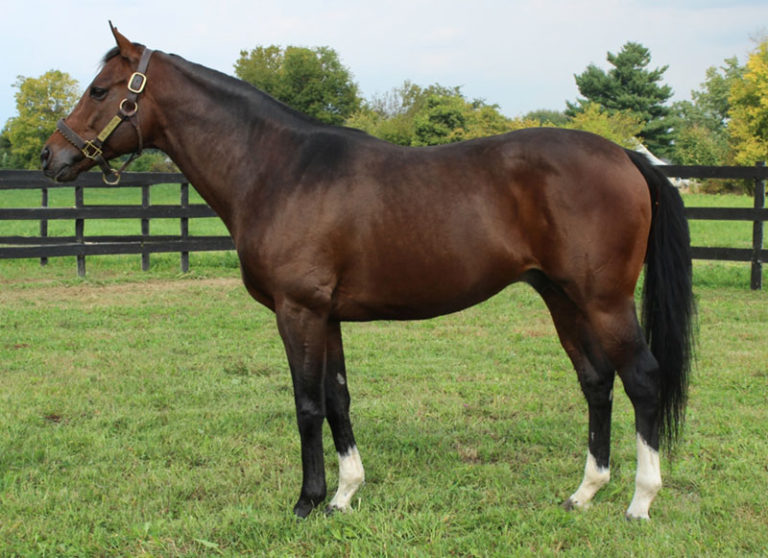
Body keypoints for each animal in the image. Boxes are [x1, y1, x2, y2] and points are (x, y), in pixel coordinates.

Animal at [41, 24, 695, 520]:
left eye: (100, 90)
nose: (52, 156)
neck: (279, 169)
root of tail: (625, 156)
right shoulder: (326, 316)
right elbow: (338, 399)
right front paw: (344, 495)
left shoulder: (298, 312)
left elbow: (306, 404)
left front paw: (306, 502)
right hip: (562, 297)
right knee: (595, 380)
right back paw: (585, 492)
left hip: (605, 301)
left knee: (641, 379)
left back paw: (640, 502)